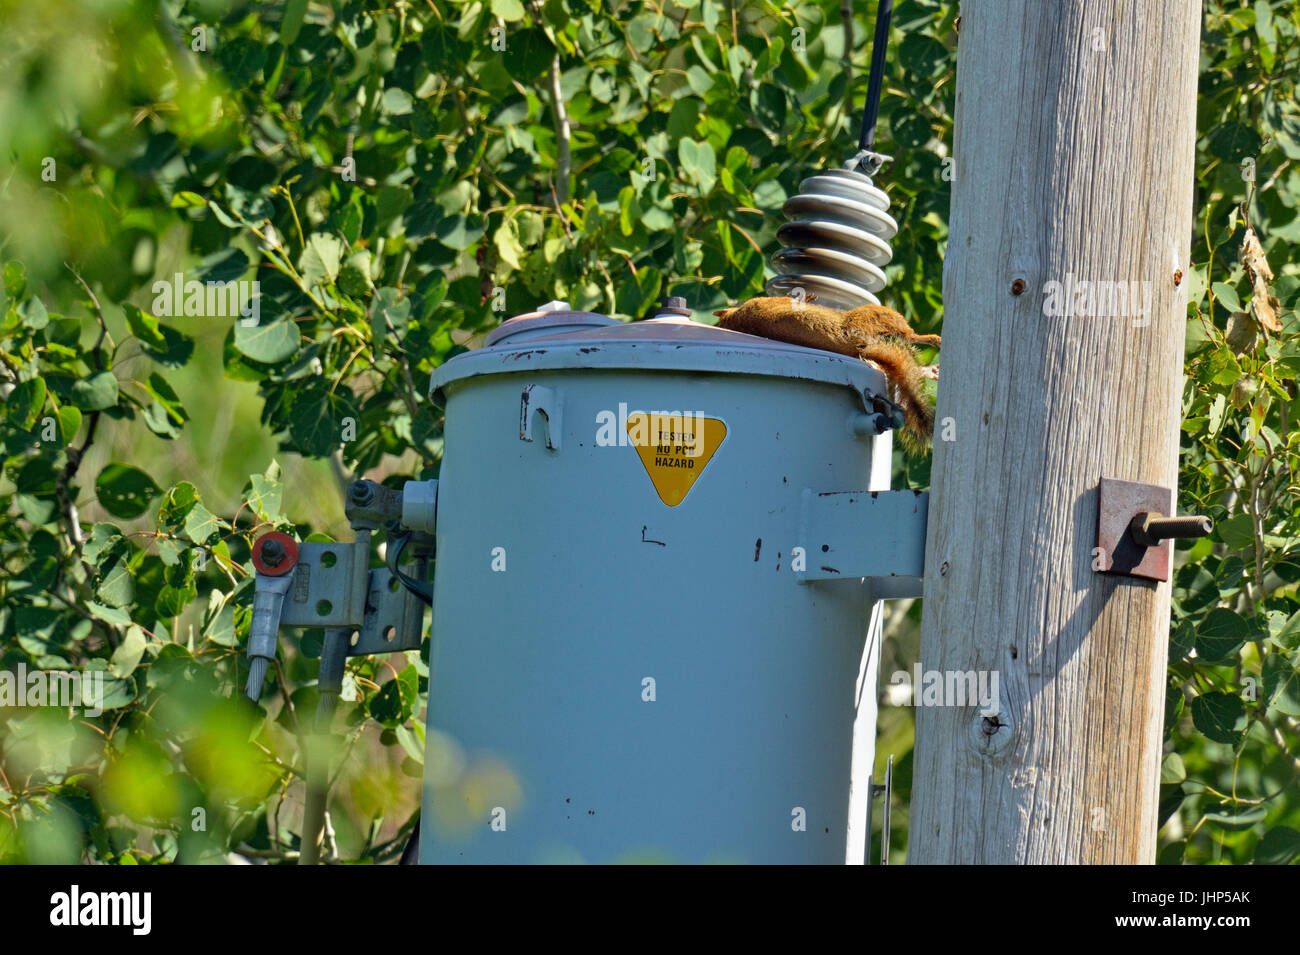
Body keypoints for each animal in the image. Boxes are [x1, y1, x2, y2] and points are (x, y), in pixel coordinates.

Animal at [713, 296, 940, 454]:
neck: (739, 318)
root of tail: (858, 344)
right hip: (879, 316)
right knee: (909, 336)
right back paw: (932, 341)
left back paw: (929, 369)